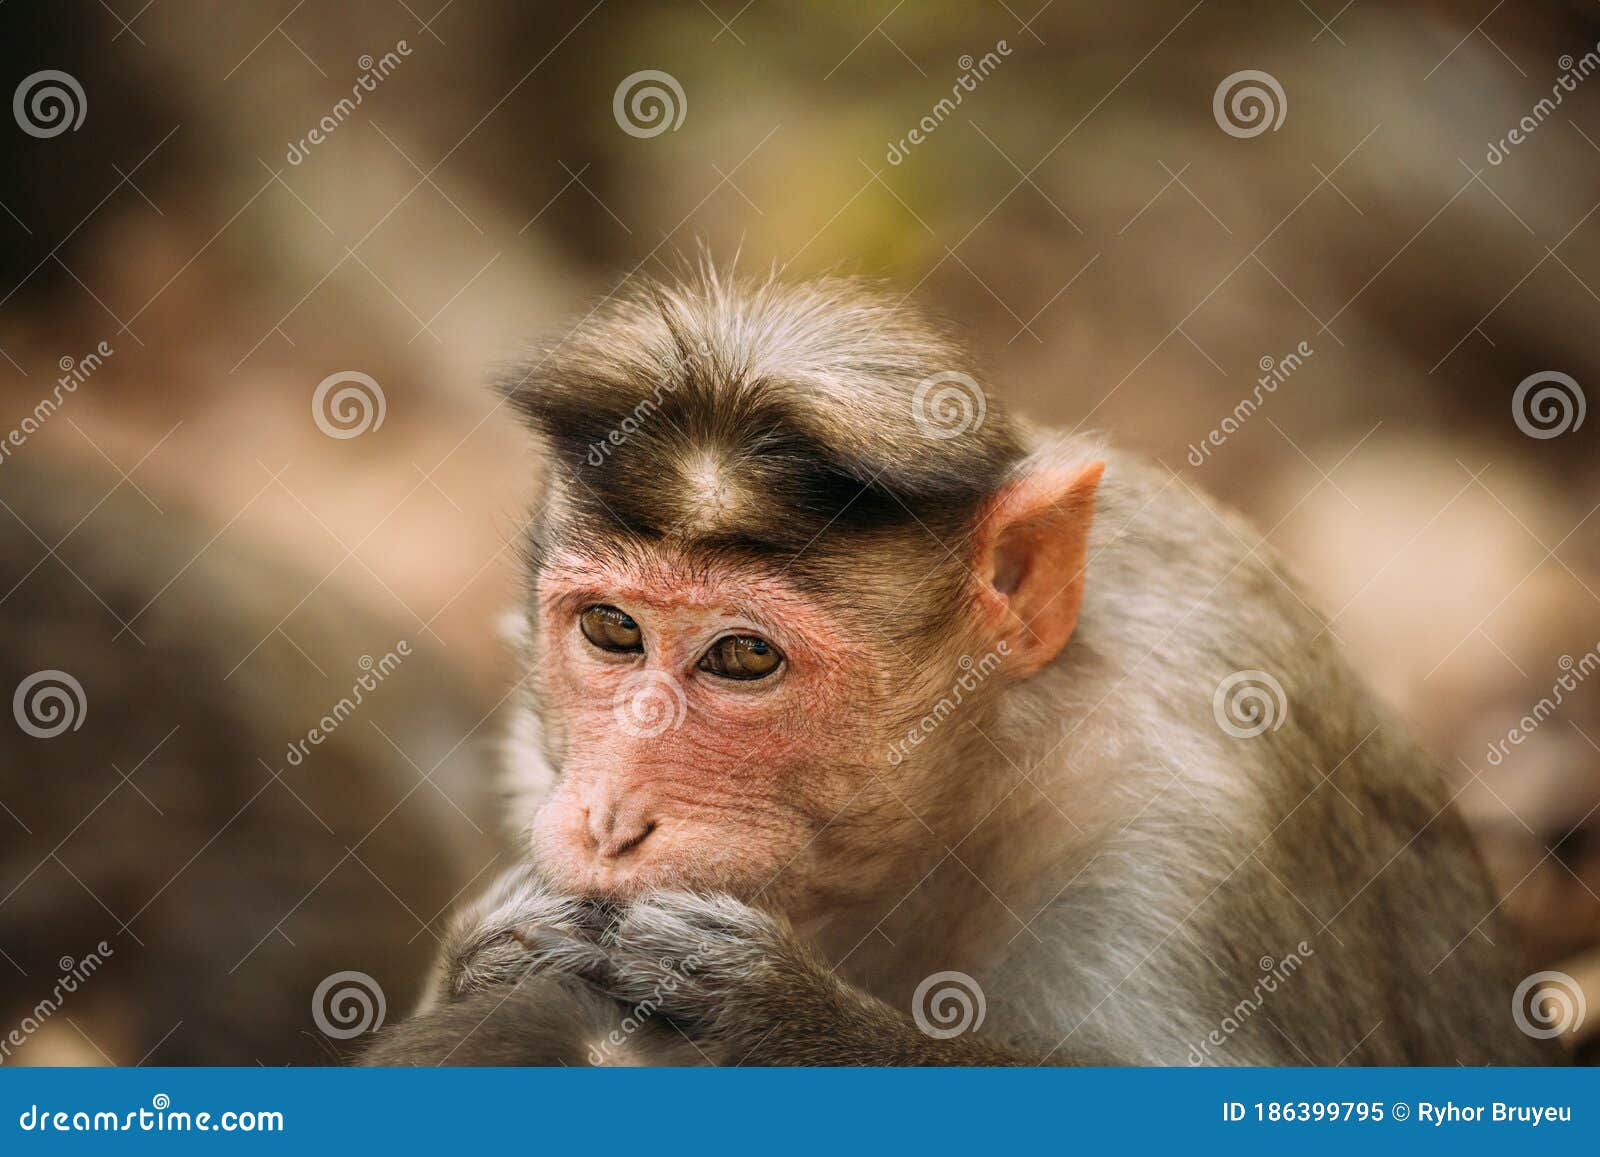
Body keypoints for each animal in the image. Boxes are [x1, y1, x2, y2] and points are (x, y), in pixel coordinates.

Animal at [365, 267, 1560, 1067]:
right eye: (614, 631)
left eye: (743, 655)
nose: (611, 819)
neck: (979, 771)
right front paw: (490, 951)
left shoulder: (1191, 802)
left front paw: (781, 1012)